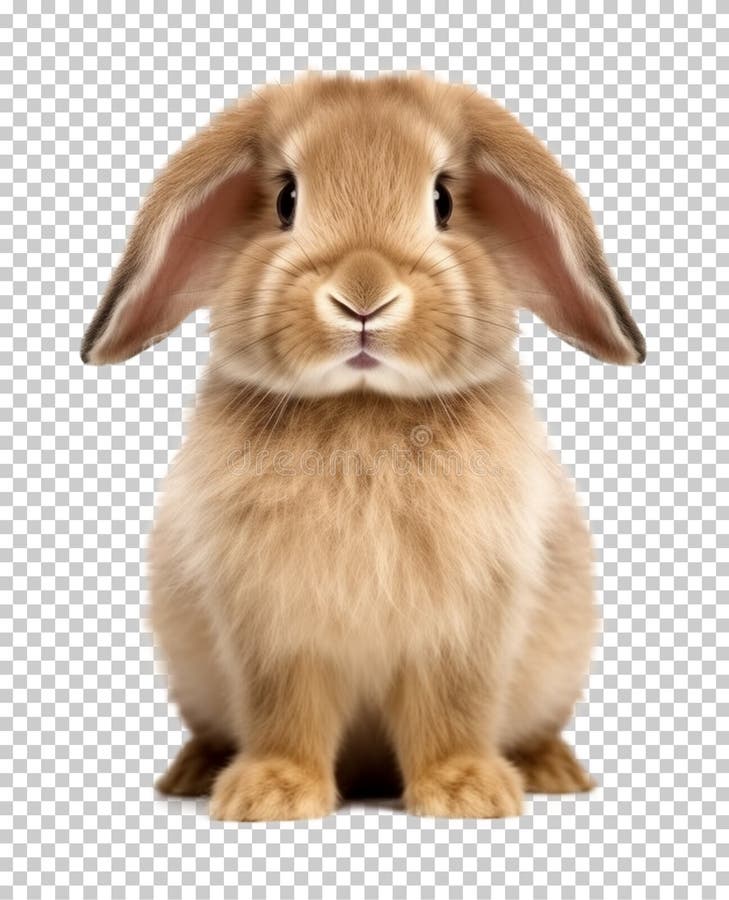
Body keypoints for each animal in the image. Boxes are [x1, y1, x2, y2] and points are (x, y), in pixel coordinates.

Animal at [81, 73, 645, 821]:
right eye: (287, 200)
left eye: (442, 200)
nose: (363, 297)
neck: (362, 408)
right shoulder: (274, 634)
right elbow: (285, 712)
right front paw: (270, 795)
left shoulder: (462, 629)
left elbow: (451, 708)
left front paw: (467, 793)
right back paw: (194, 771)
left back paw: (550, 770)